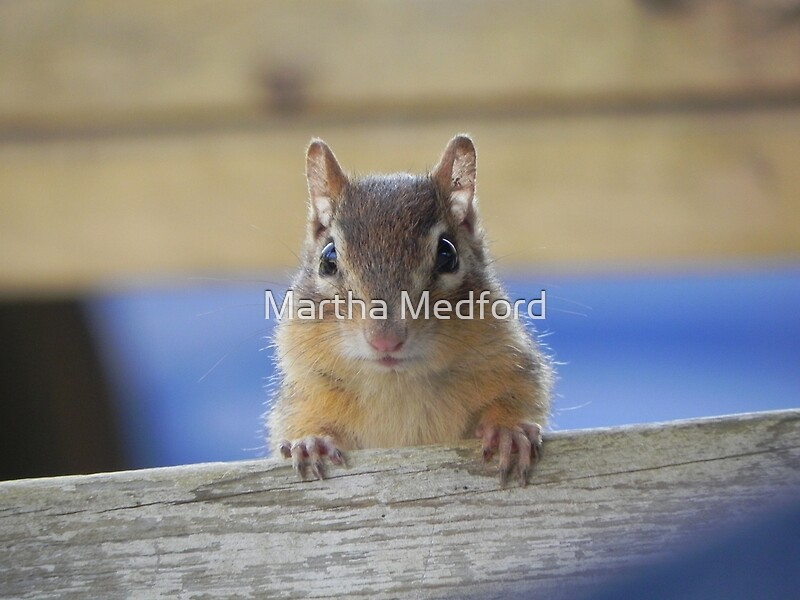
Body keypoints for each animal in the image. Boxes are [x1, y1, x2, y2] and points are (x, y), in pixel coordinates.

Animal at [267, 135, 553, 486]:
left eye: (448, 254)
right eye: (327, 259)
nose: (385, 340)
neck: (397, 385)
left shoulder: (511, 364)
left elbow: (519, 396)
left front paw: (507, 431)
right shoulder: (304, 390)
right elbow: (300, 419)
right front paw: (311, 441)